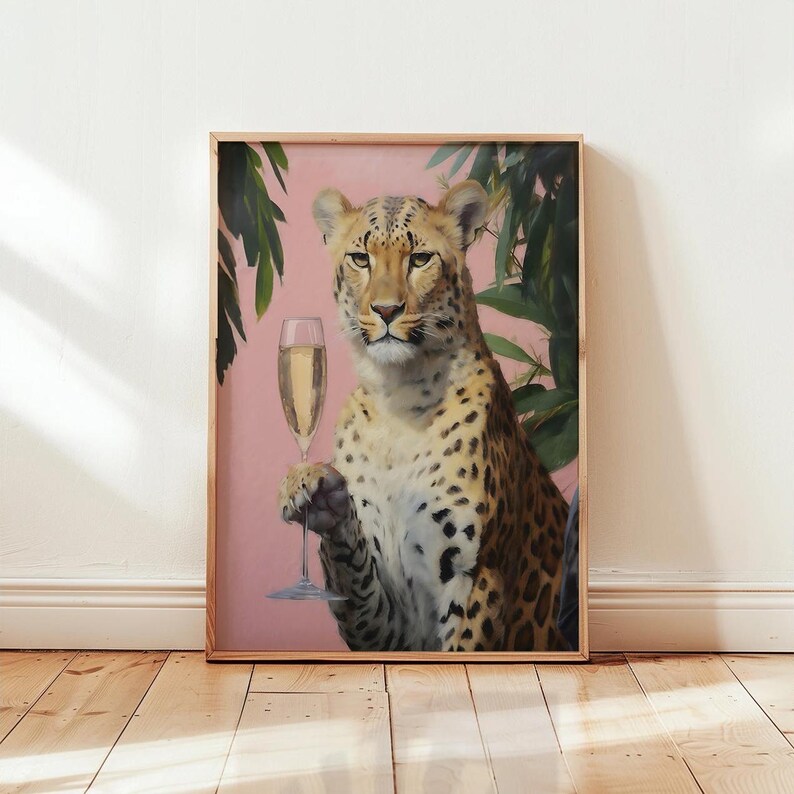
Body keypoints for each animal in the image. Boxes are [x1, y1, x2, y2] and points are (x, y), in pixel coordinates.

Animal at [278, 179, 571, 652]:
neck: (398, 402)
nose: (386, 310)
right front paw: (319, 495)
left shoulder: (477, 577)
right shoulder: (389, 626)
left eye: (420, 259)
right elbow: (352, 573)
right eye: (361, 258)